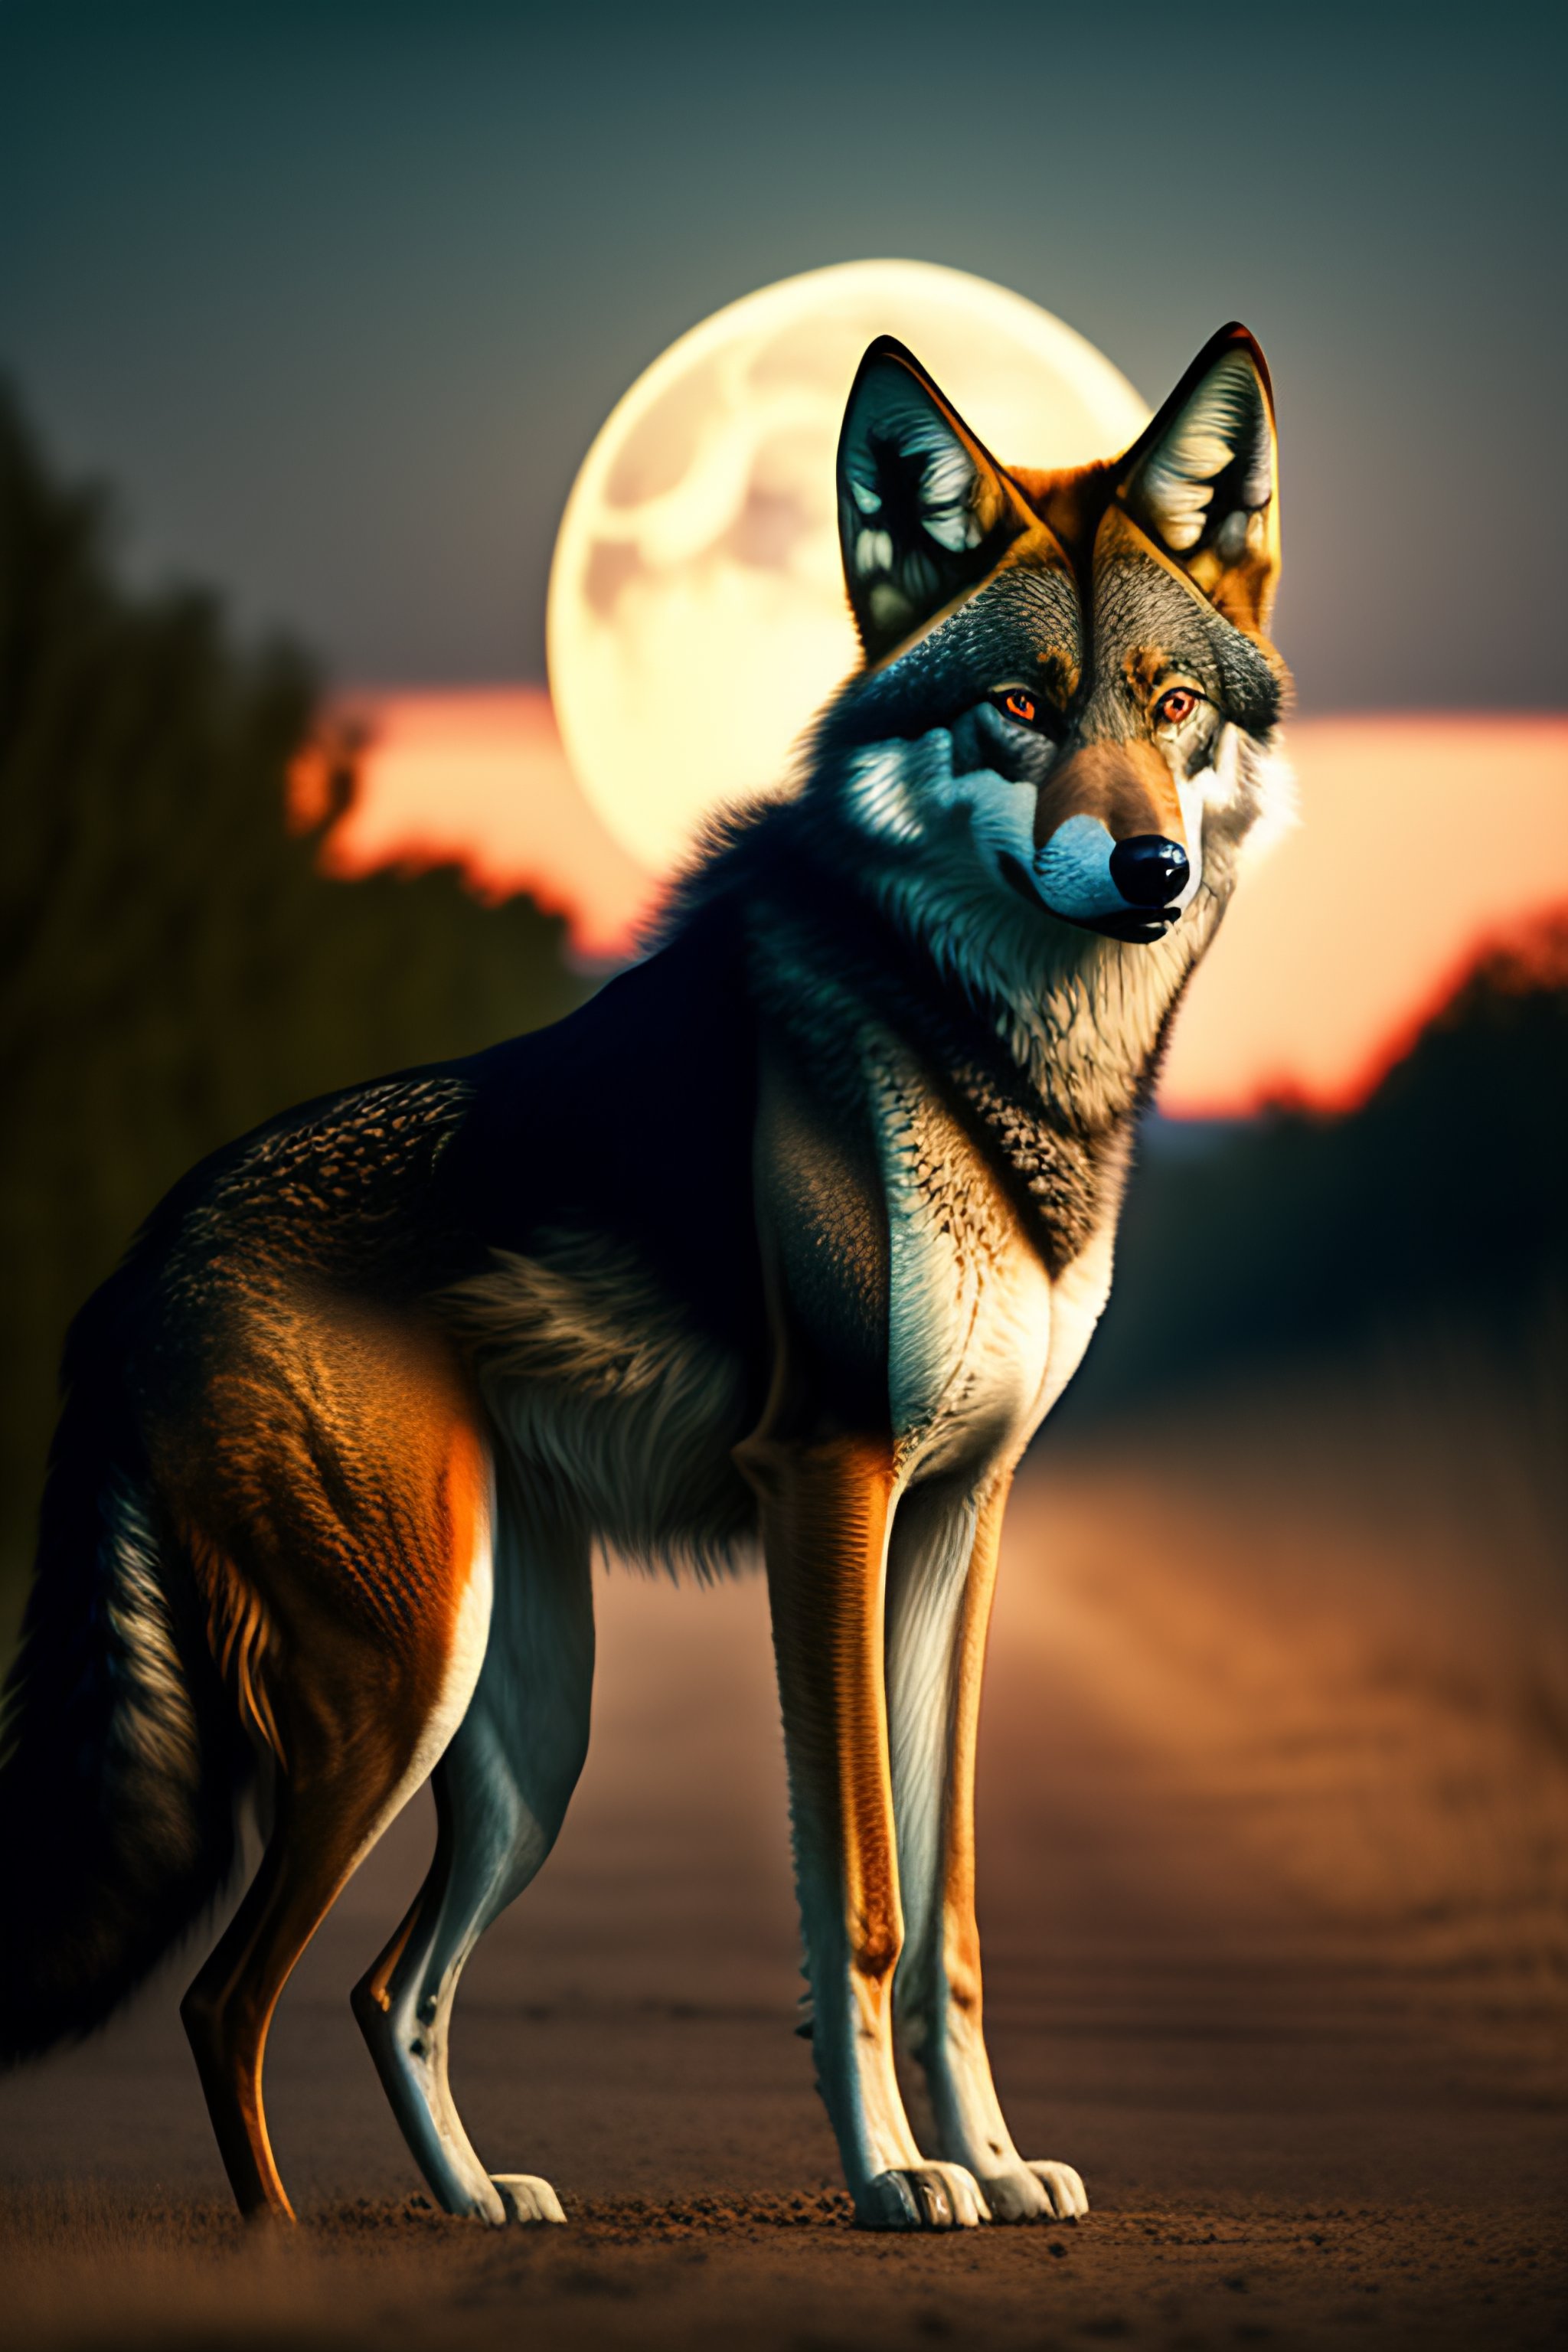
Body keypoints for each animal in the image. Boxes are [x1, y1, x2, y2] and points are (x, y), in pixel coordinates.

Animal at [0, 321, 1289, 2231]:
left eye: (1169, 703)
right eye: (1021, 707)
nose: (1149, 867)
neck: (997, 1077)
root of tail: (130, 1265)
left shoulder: (959, 1521)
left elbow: (953, 1915)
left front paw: (988, 2162)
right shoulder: (829, 1487)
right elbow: (860, 1901)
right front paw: (894, 2179)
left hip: (527, 1732)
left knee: (383, 1988)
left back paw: (481, 2207)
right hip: (399, 1696)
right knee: (228, 1998)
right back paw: (290, 2247)